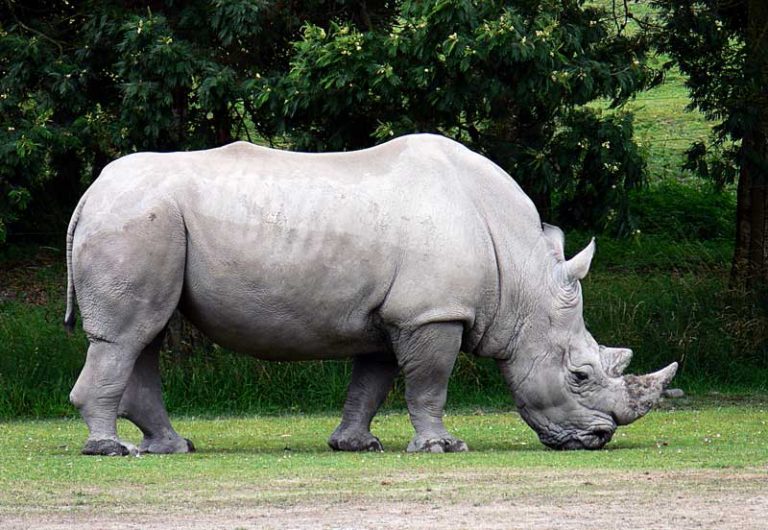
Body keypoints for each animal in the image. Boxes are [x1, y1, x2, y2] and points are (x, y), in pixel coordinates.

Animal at [64, 133, 677, 456]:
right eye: (579, 375)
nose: (598, 439)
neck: (521, 275)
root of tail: (90, 192)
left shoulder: (394, 316)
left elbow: (372, 382)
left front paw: (354, 445)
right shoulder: (431, 313)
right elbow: (430, 383)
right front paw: (442, 447)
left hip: (143, 220)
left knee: (144, 335)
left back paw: (173, 448)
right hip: (137, 221)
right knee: (128, 336)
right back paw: (110, 451)